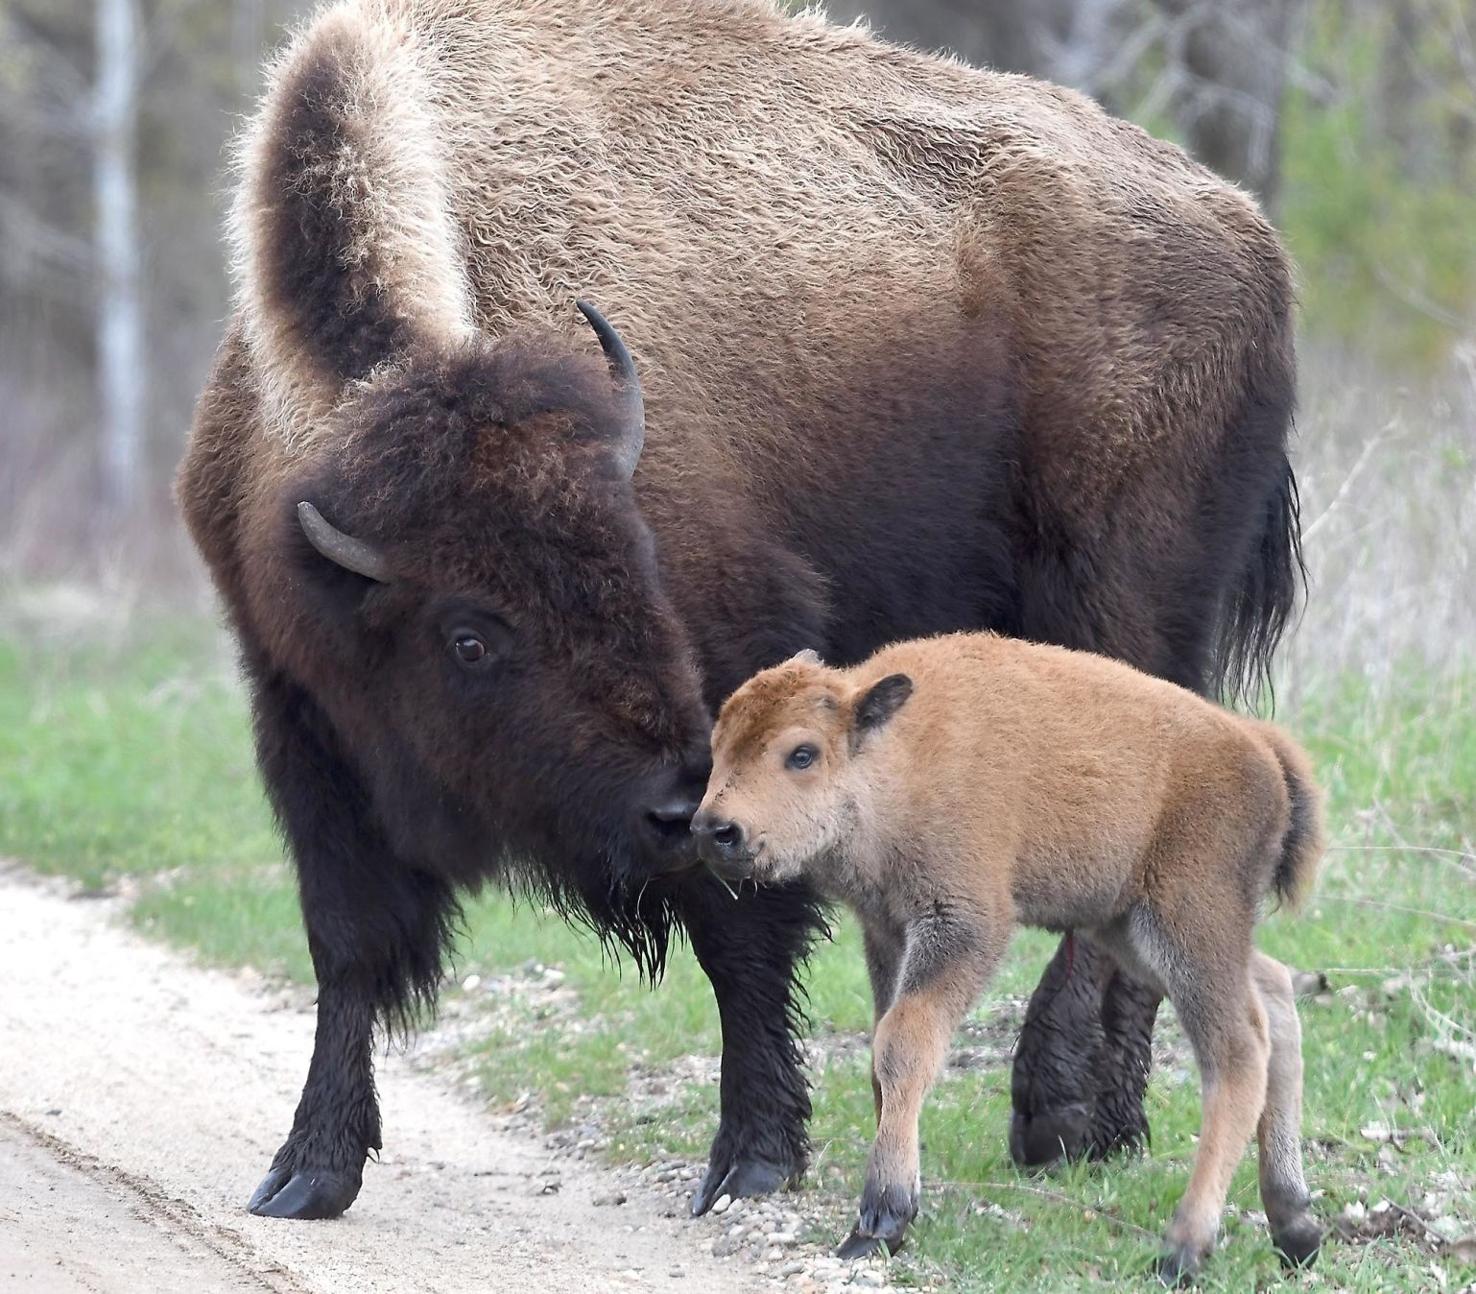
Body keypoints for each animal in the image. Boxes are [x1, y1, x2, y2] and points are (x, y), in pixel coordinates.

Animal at [178, 0, 1302, 1223]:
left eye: (642, 564)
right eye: (468, 634)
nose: (668, 808)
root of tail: (1246, 232)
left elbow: (740, 935)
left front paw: (754, 1154)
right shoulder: (307, 725)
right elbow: (347, 949)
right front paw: (308, 1169)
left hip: (1122, 614)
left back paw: (1054, 1112)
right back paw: (1104, 1120)